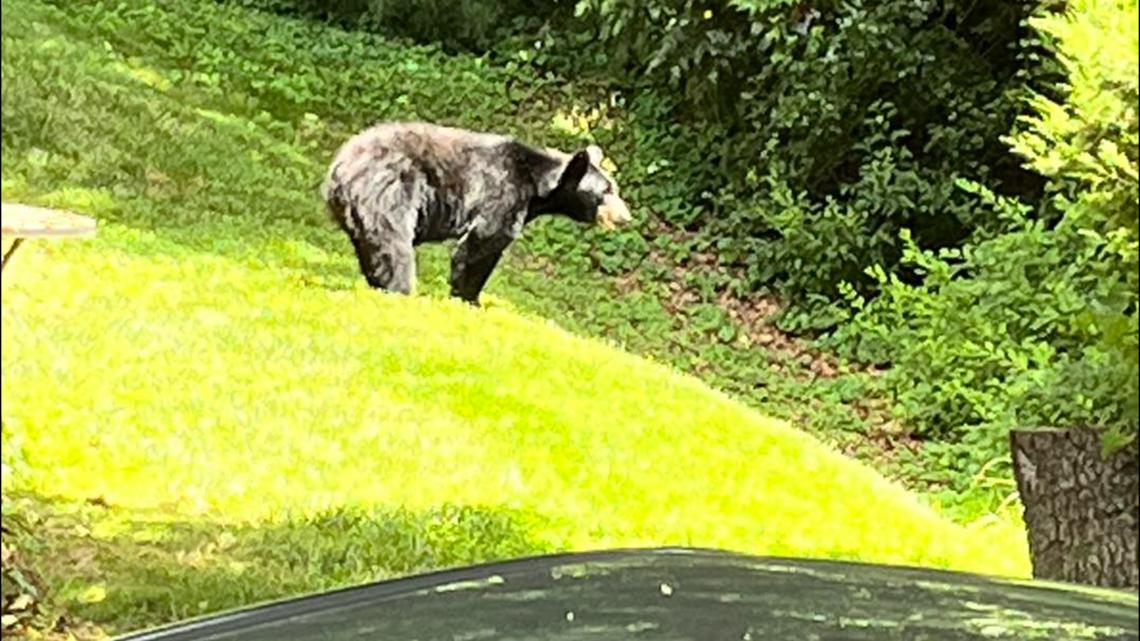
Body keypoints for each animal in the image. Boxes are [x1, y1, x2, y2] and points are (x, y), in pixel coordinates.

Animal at [321, 121, 632, 305]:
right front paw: (470, 299)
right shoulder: (503, 194)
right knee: (393, 243)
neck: (536, 184)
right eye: (606, 191)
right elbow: (481, 245)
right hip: (390, 191)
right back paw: (403, 290)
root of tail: (340, 168)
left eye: (613, 187)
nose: (626, 216)